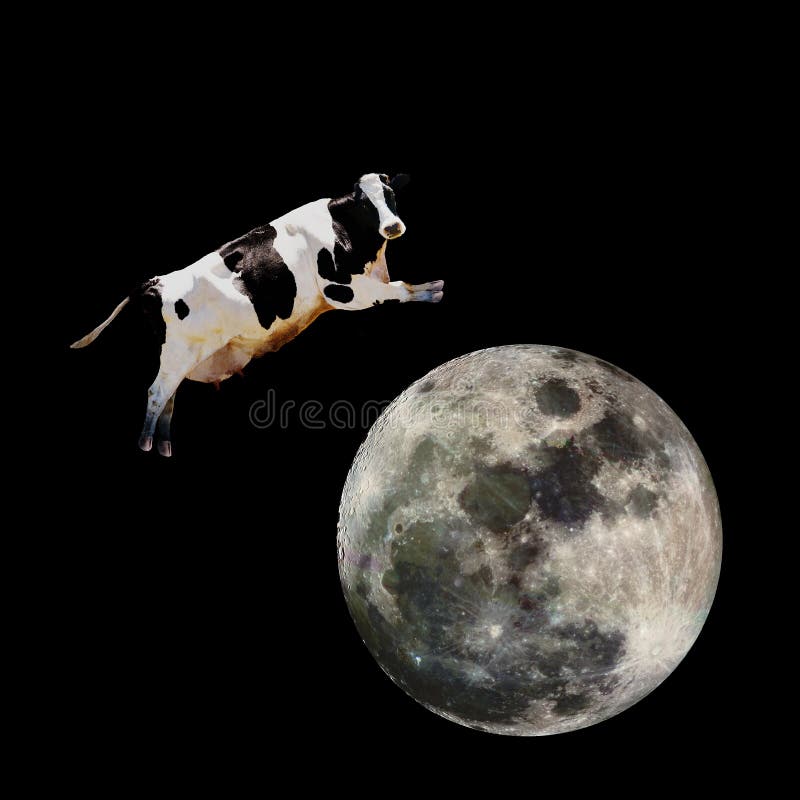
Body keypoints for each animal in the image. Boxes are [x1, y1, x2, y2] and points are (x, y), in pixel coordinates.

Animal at [71, 172, 443, 456]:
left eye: (391, 196)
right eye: (366, 203)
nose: (393, 226)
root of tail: (154, 282)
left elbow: (395, 287)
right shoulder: (342, 289)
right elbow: (397, 290)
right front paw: (432, 290)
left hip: (180, 358)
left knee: (169, 397)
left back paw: (163, 445)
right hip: (177, 353)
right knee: (156, 393)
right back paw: (148, 443)